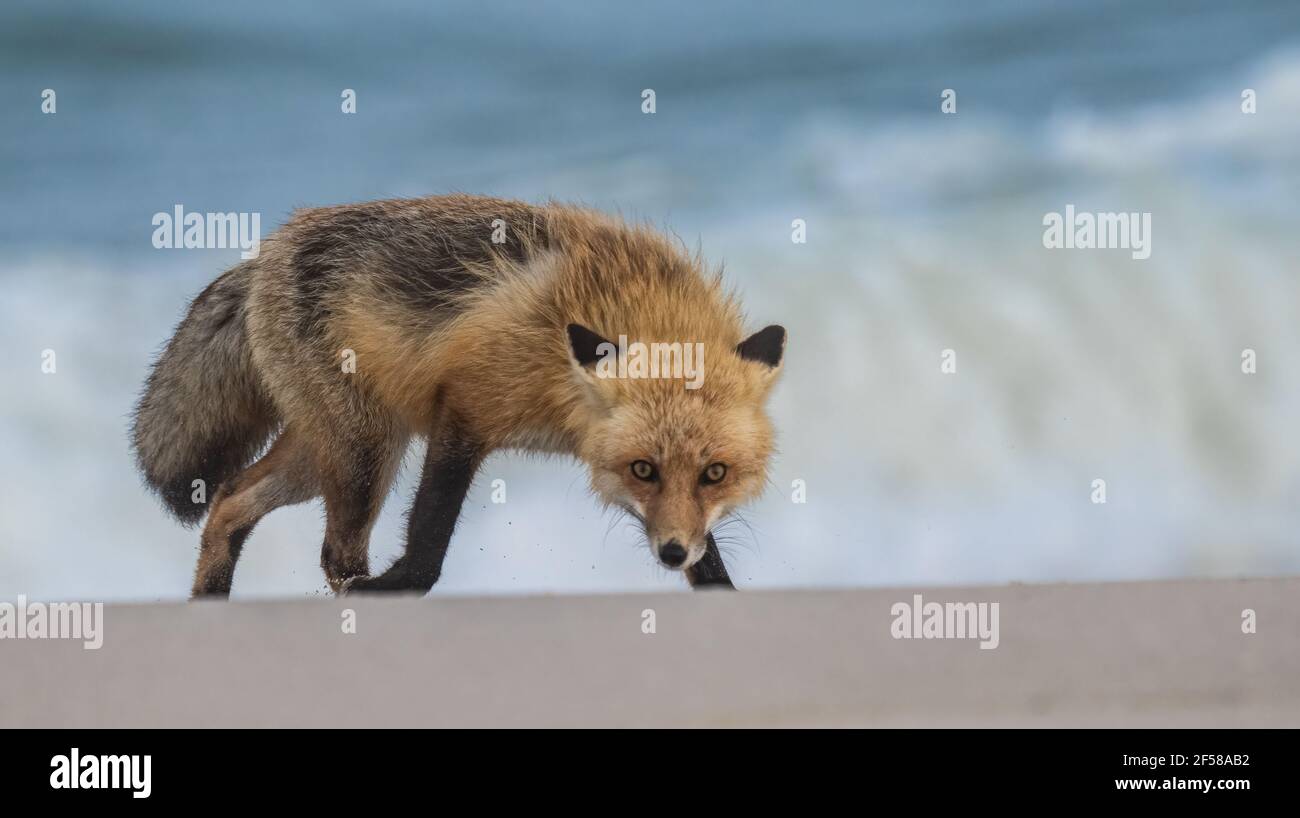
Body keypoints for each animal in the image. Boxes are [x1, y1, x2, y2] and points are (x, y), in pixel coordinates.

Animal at [131, 195, 786, 598]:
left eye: (715, 474)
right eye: (643, 470)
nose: (672, 554)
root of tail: (265, 253)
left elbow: (713, 564)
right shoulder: (465, 411)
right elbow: (428, 544)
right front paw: (399, 586)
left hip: (327, 455)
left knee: (228, 504)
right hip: (364, 455)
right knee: (333, 556)